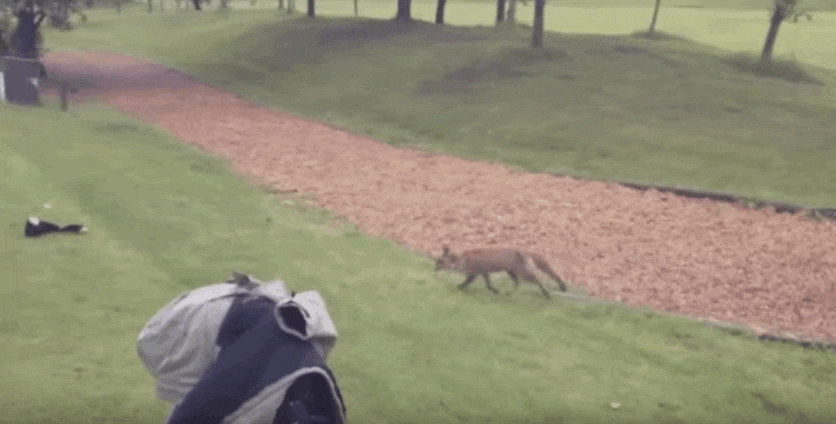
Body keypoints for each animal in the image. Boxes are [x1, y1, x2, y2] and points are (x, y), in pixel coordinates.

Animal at [434, 245, 567, 299]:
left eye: (440, 262)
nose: (434, 269)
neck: (463, 260)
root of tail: (524, 251)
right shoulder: (484, 271)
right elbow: (488, 285)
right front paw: (496, 291)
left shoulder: (475, 272)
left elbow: (468, 282)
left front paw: (459, 287)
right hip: (511, 271)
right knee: (517, 283)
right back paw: (507, 294)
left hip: (522, 271)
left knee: (536, 279)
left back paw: (547, 294)